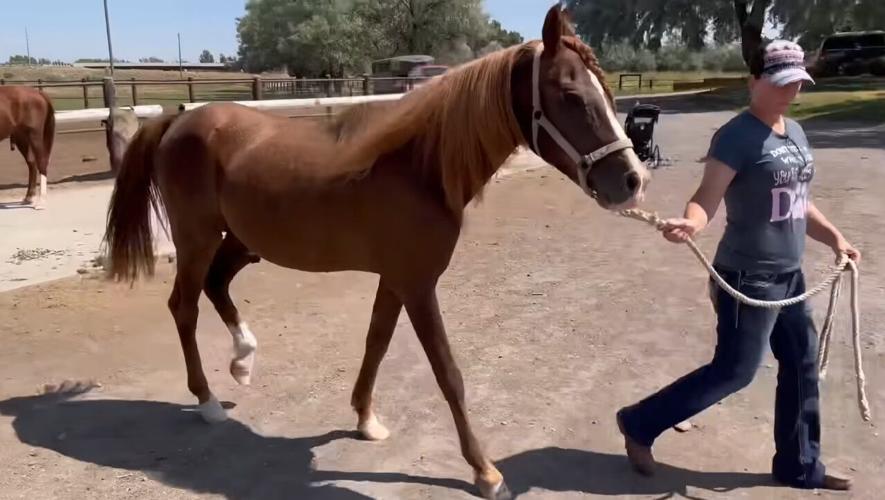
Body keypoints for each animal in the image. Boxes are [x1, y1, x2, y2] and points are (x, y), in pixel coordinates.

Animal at [103, 6, 649, 499]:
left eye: (606, 91)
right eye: (570, 94)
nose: (632, 180)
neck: (420, 167)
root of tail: (176, 124)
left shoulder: (396, 280)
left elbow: (376, 343)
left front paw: (365, 419)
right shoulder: (418, 284)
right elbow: (449, 374)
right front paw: (485, 472)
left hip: (241, 241)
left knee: (216, 287)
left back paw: (243, 362)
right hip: (196, 239)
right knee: (184, 307)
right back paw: (208, 400)